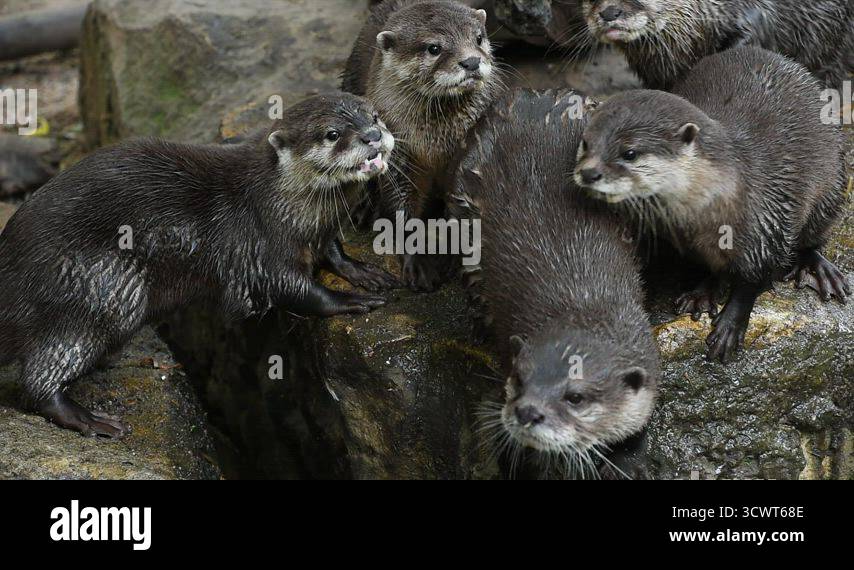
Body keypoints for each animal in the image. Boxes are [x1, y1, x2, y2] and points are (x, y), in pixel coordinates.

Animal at [0, 92, 398, 438]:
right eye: (332, 134)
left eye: (376, 115)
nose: (373, 135)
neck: (281, 203)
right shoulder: (259, 249)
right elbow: (294, 288)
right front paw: (348, 301)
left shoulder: (320, 230)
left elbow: (333, 251)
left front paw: (364, 272)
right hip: (100, 289)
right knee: (39, 376)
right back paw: (88, 418)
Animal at [342, 0, 502, 291]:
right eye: (434, 48)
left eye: (478, 38)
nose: (472, 61)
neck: (435, 142)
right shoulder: (398, 157)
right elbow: (400, 206)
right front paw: (417, 265)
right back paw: (363, 208)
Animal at [575, 47, 849, 364]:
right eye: (586, 142)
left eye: (629, 153)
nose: (588, 173)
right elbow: (709, 267)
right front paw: (703, 290)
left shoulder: (769, 223)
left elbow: (754, 279)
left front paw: (730, 325)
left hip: (832, 185)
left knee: (816, 233)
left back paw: (817, 267)